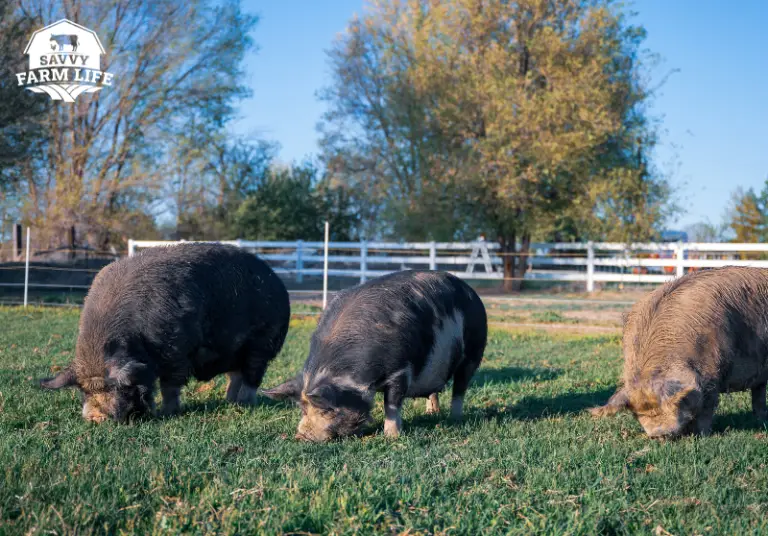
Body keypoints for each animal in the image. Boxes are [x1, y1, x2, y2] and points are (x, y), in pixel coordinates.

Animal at [38, 243, 290, 423]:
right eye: (83, 391)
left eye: (116, 387)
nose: (96, 417)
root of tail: (278, 281)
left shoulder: (175, 350)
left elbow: (169, 385)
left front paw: (165, 413)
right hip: (235, 352)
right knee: (235, 375)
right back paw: (230, 402)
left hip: (261, 344)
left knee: (251, 377)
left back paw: (244, 404)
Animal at [261, 270, 487, 441]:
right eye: (302, 409)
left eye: (327, 410)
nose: (301, 437)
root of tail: (472, 292)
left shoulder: (400, 370)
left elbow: (391, 404)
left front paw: (391, 437)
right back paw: (432, 413)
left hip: (473, 354)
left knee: (460, 387)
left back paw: (454, 419)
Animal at [589, 266, 768, 438]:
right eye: (638, 414)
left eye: (674, 402)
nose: (658, 433)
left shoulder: (712, 374)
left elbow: (706, 410)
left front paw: (702, 436)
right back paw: (760, 420)